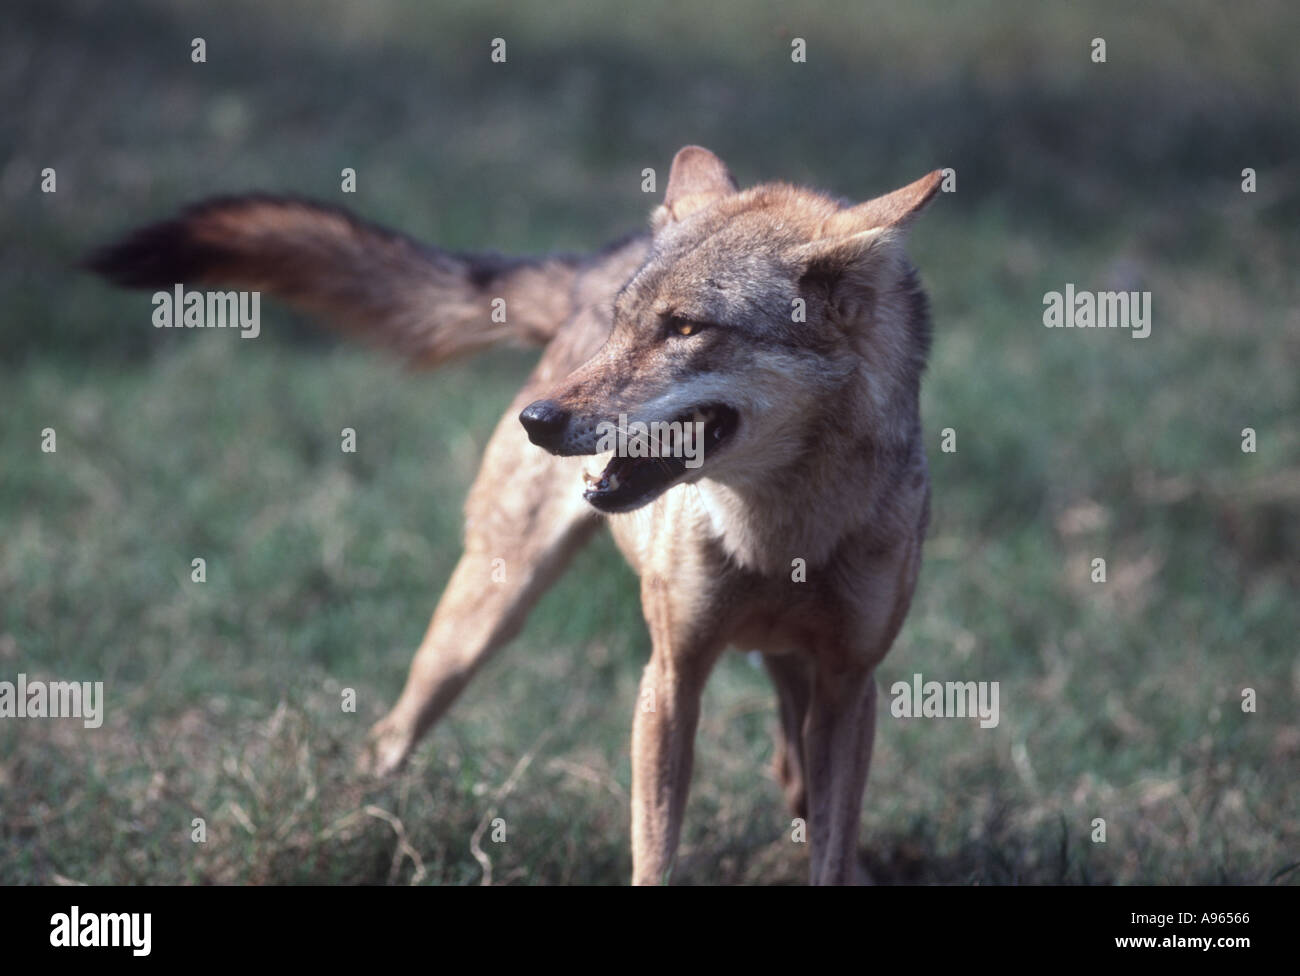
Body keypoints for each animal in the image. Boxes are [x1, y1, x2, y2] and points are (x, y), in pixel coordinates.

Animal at [88, 146, 942, 884]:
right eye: (623, 323)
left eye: (685, 328)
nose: (540, 420)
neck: (778, 533)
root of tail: (590, 265)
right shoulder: (670, 678)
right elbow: (654, 854)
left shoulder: (849, 685)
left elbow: (829, 845)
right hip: (479, 624)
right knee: (388, 736)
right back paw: (360, 822)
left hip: (792, 679)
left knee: (797, 782)